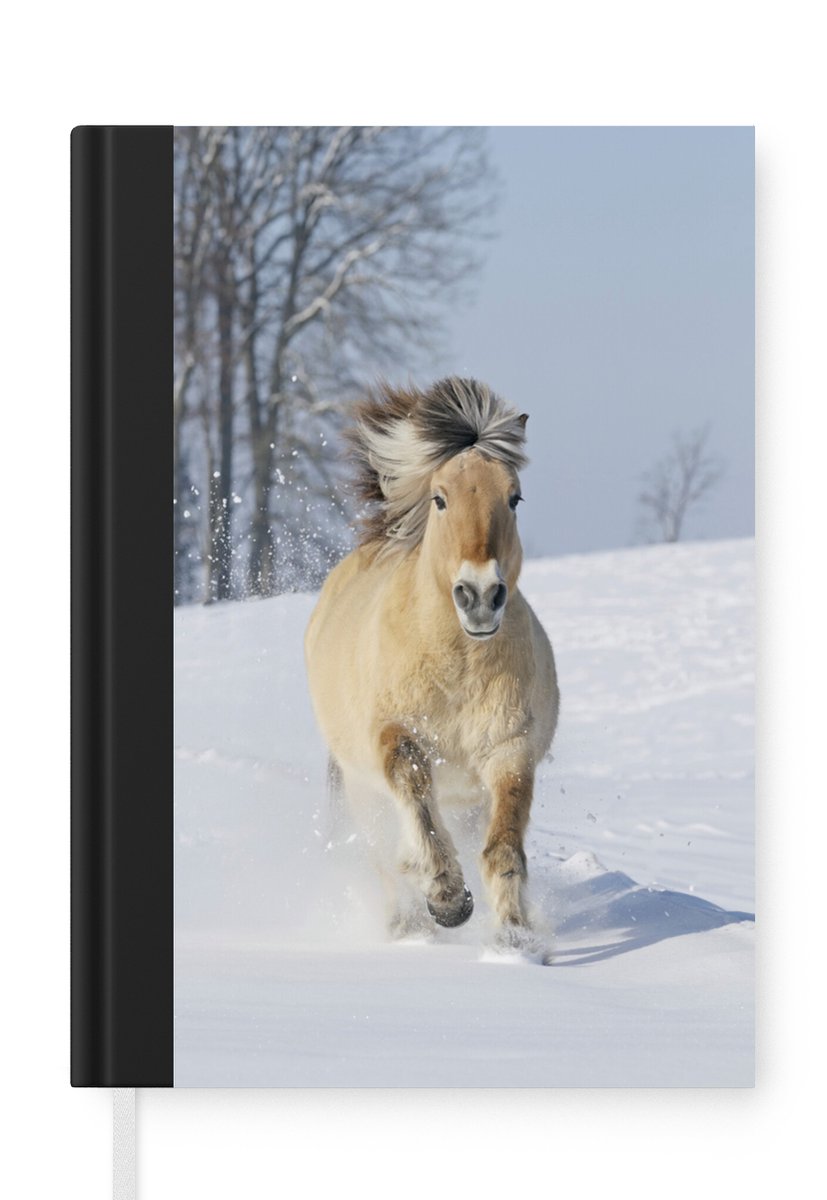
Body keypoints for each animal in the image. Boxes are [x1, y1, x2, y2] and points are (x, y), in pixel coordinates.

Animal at [304, 377, 559, 961]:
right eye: (440, 498)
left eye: (514, 497)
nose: (480, 596)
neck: (458, 667)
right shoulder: (395, 737)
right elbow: (417, 796)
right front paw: (446, 899)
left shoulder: (509, 751)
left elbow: (503, 847)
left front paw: (514, 937)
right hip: (361, 787)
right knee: (384, 854)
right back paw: (408, 926)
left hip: (466, 796)